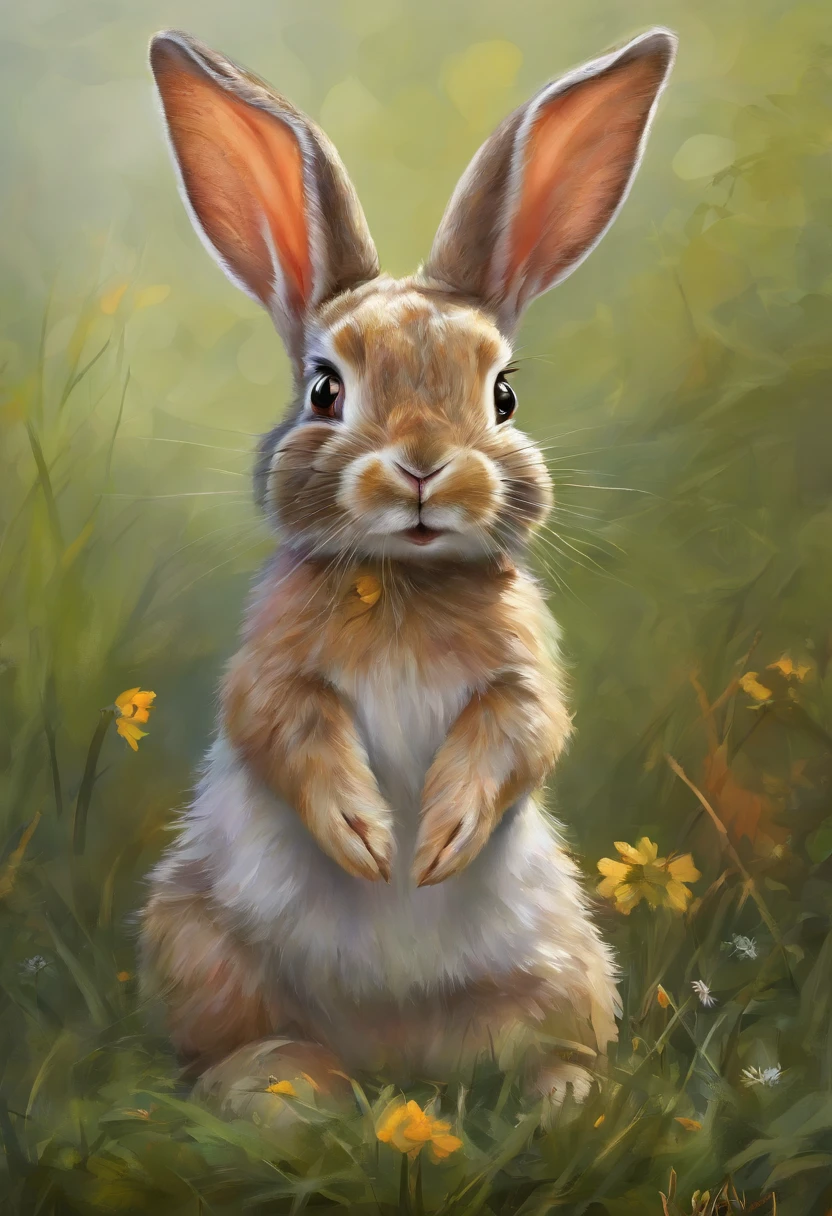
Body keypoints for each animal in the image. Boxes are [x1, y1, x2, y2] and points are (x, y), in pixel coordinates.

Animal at [140, 26, 676, 1105]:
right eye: (323, 388)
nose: (426, 467)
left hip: (567, 962)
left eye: (503, 394)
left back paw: (564, 1097)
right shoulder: (268, 670)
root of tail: (386, 1047)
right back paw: (286, 1094)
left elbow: (523, 729)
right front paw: (368, 837)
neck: (403, 583)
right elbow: (281, 721)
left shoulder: (524, 671)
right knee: (229, 1048)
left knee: (541, 1039)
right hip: (195, 941)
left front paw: (436, 838)